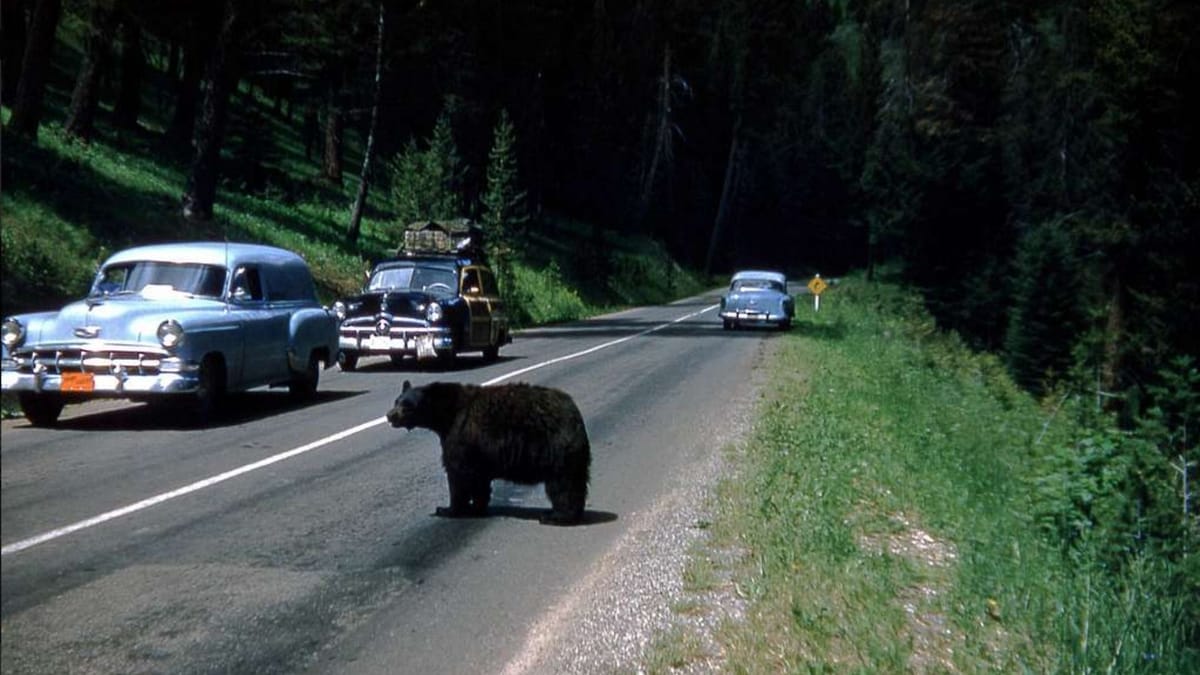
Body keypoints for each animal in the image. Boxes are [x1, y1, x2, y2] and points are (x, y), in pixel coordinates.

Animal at [387, 380, 591, 525]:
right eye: (396, 401)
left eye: (407, 405)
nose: (390, 415)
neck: (447, 415)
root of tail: (575, 414)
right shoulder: (478, 453)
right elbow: (479, 480)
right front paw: (478, 507)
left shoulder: (460, 435)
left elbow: (458, 473)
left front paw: (449, 509)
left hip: (556, 449)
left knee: (562, 484)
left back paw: (555, 516)